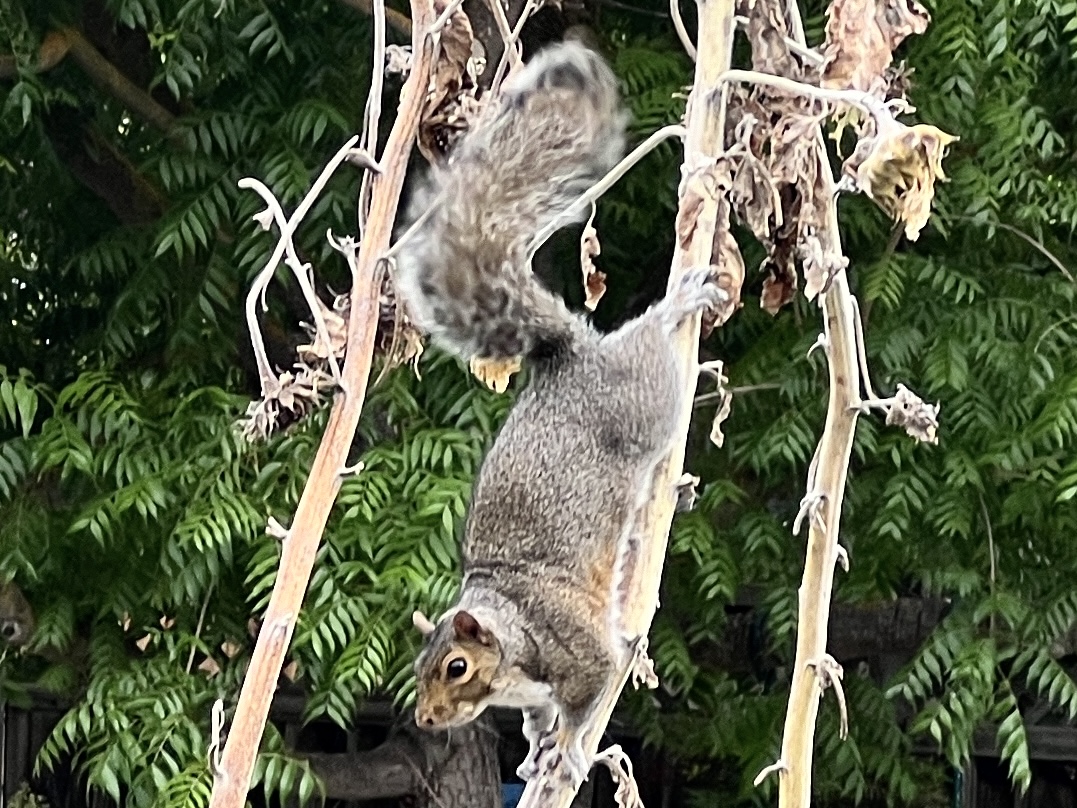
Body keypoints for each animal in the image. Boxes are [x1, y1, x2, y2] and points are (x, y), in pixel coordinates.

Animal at [397, 42, 722, 787]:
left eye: (455, 667)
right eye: (420, 668)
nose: (425, 720)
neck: (512, 631)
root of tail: (569, 357)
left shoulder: (581, 651)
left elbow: (588, 692)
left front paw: (566, 747)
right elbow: (540, 714)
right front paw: (536, 742)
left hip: (648, 398)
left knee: (652, 356)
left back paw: (674, 312)